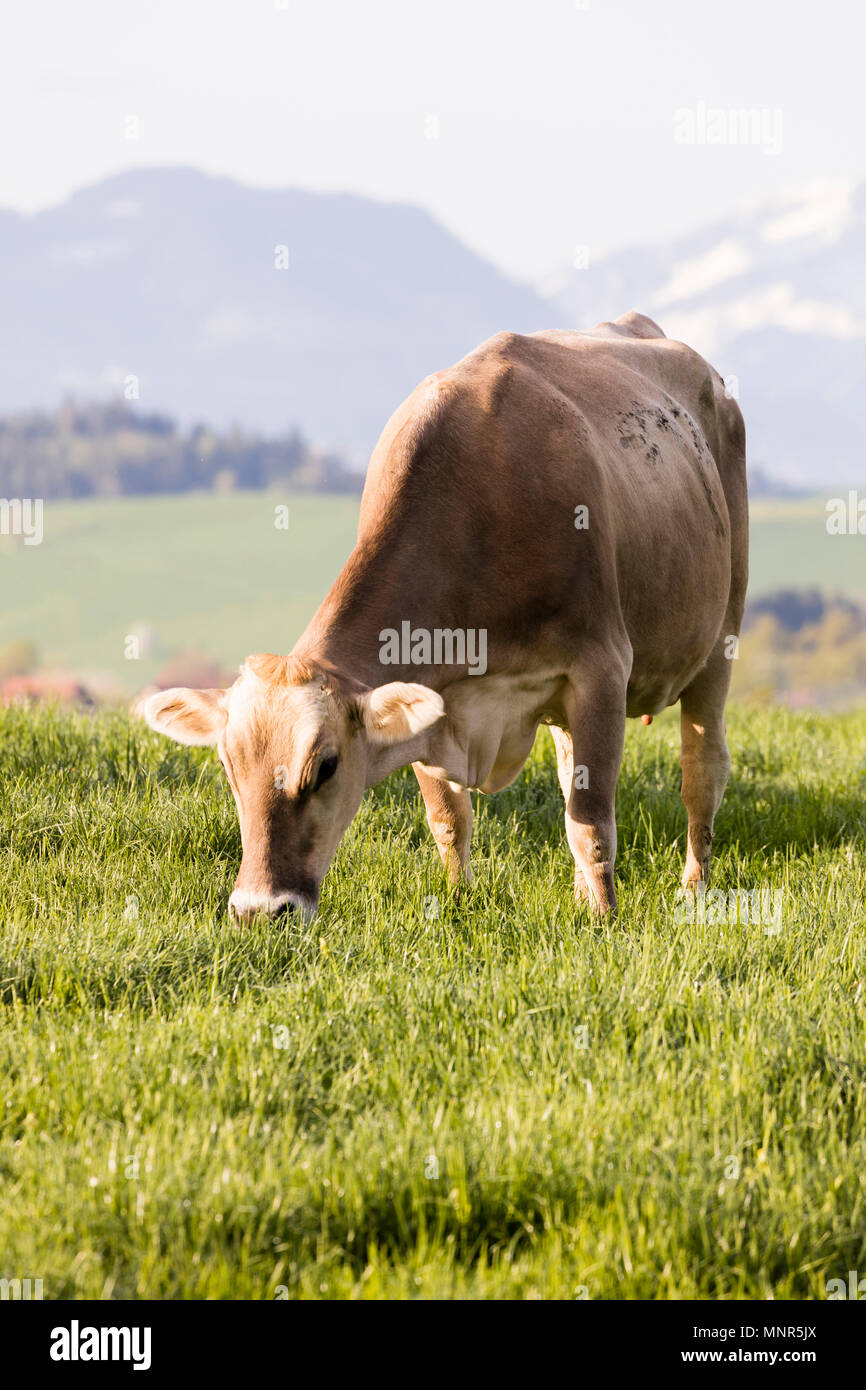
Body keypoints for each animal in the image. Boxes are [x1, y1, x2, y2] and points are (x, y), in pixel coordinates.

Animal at [144, 312, 748, 923]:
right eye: (229, 764)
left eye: (327, 766)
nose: (261, 909)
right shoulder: (431, 691)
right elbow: (449, 820)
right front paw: (461, 900)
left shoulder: (601, 666)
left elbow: (591, 823)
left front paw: (604, 920)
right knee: (568, 762)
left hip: (722, 633)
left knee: (703, 770)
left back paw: (693, 889)